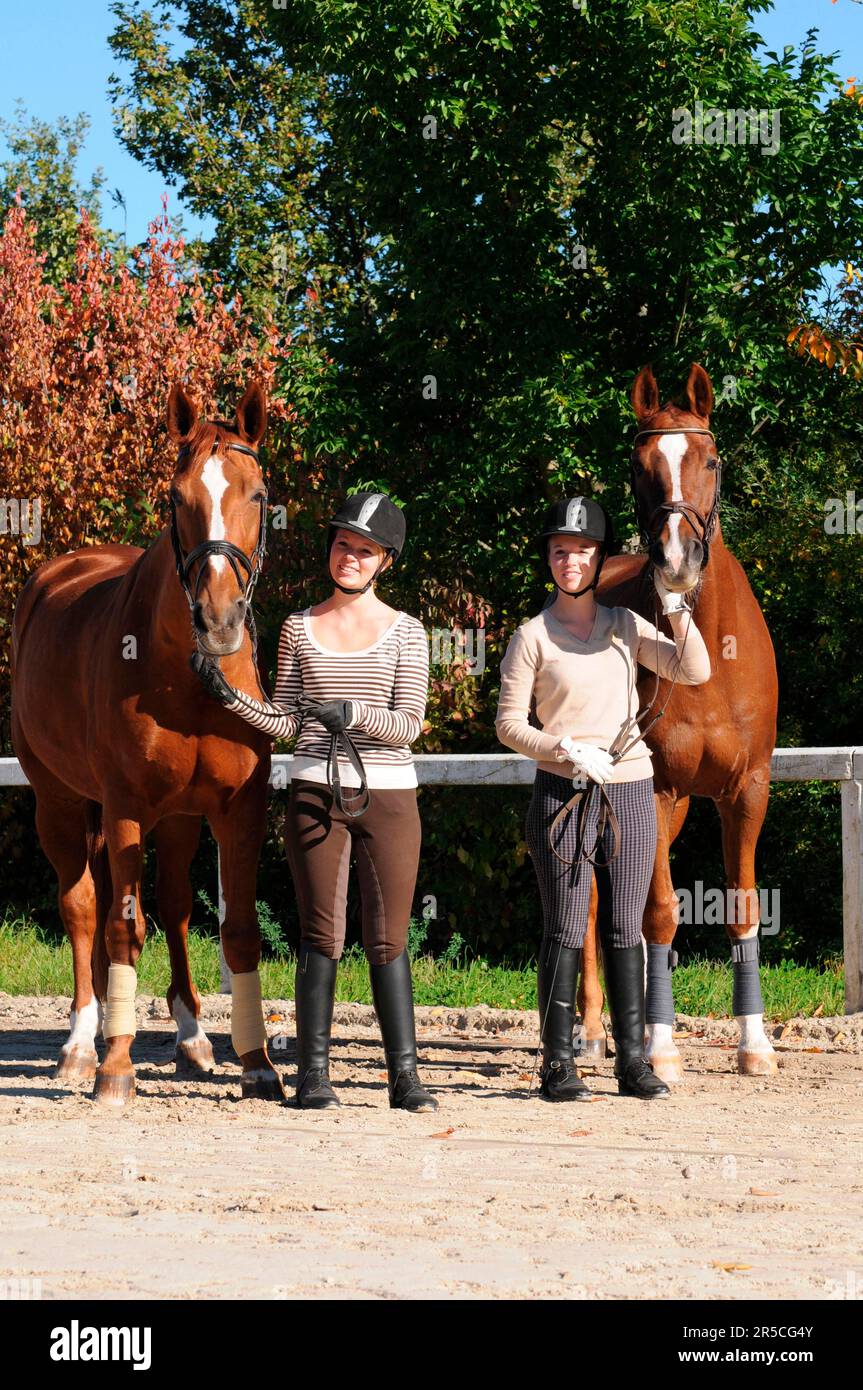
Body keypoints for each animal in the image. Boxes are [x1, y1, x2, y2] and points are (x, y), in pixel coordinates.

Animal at [11, 380, 284, 1106]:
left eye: (258, 495)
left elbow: (236, 931)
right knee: (84, 908)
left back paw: (190, 1039)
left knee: (176, 908)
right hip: (58, 802)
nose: (218, 620)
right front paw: (115, 1066)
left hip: (180, 817)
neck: (185, 679)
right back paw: (82, 1042)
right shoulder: (126, 807)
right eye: (176, 496)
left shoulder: (236, 811)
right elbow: (121, 928)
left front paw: (258, 1066)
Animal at [577, 363, 779, 1083]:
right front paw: (661, 1050)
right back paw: (591, 1034)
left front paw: (754, 1044)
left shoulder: (745, 791)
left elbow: (742, 908)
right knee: (593, 904)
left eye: (710, 460)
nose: (675, 560)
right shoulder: (659, 789)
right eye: (638, 468)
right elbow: (660, 914)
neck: (706, 656)